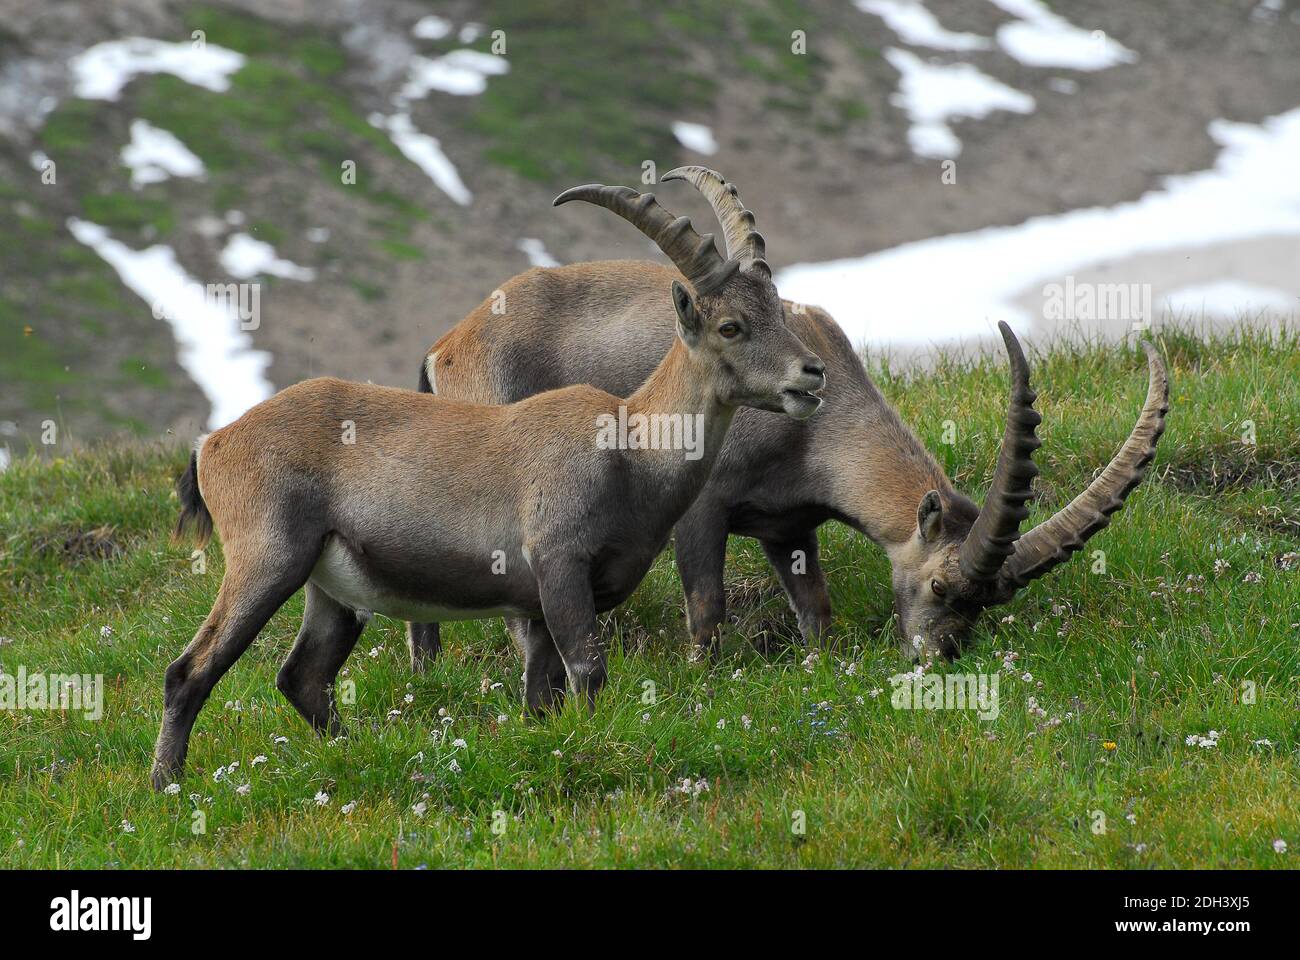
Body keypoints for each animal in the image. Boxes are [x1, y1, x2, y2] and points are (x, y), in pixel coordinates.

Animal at [151, 181, 826, 789]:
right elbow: (588, 669)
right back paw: (167, 786)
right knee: (190, 671)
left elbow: (540, 694)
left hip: (333, 587)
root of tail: (214, 444)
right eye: (731, 326)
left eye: (777, 311)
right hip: (267, 559)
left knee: (303, 677)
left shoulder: (535, 606)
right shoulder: (559, 564)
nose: (812, 372)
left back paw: (354, 756)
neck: (631, 448)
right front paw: (594, 744)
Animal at [408, 166, 1169, 663]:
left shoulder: (790, 528)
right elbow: (707, 611)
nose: (940, 658)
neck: (810, 438)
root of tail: (446, 347)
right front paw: (705, 679)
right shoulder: (703, 510)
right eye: (941, 584)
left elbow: (817, 614)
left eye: (989, 601)